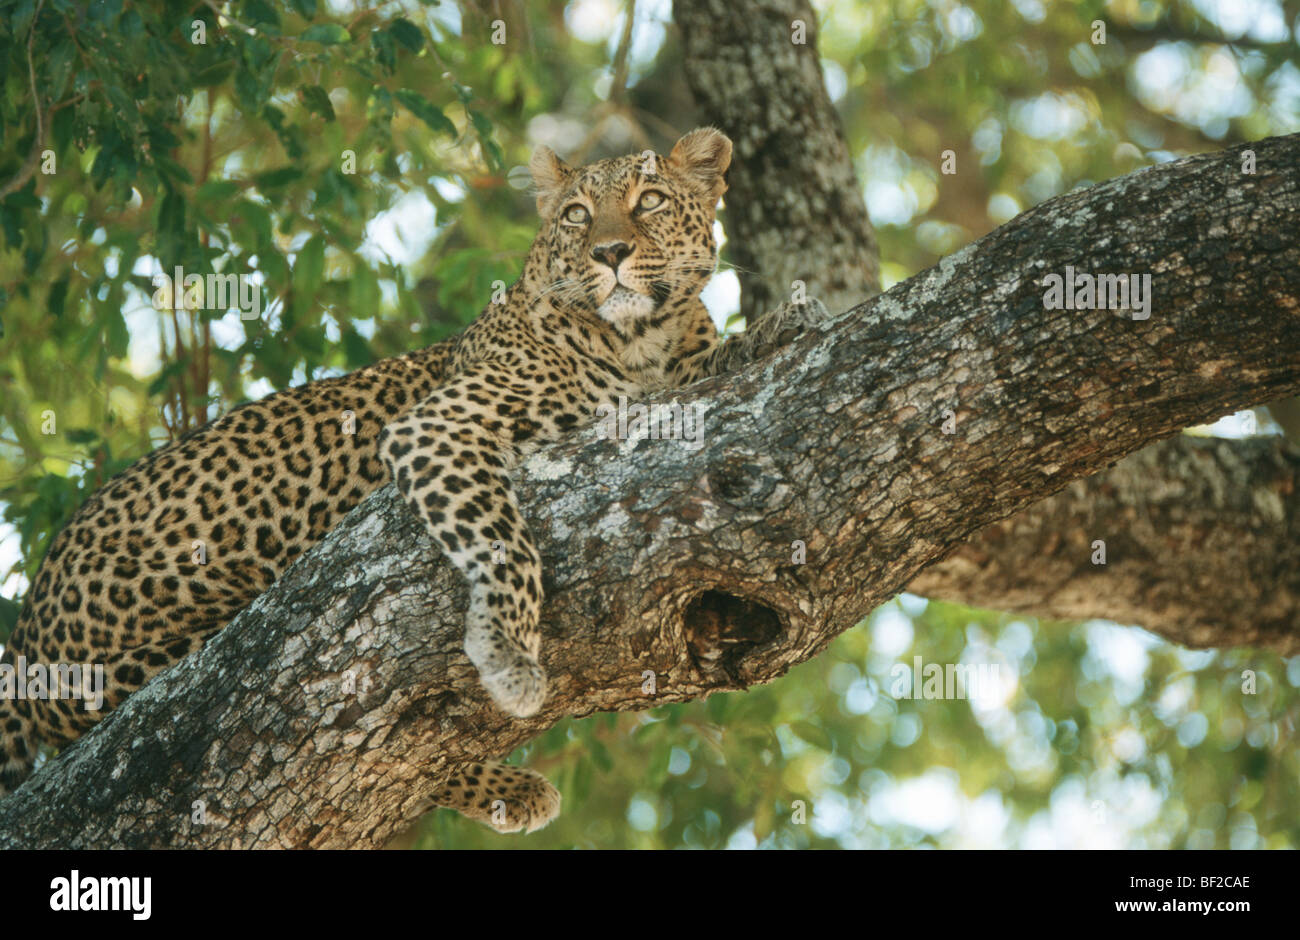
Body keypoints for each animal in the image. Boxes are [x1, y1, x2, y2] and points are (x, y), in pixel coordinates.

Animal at [0, 127, 830, 835]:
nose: (612, 251)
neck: (642, 344)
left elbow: (709, 366)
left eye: (650, 199)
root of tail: (29, 621)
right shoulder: (438, 427)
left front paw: (780, 326)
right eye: (576, 215)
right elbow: (503, 544)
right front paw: (508, 655)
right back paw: (508, 785)